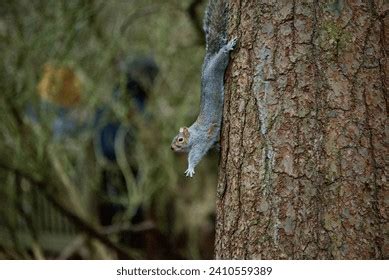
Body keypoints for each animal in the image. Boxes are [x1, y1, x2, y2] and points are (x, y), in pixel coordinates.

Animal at [170, 0, 236, 177]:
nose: (171, 148)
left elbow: (195, 155)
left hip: (216, 66)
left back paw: (228, 47)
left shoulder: (200, 142)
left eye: (180, 139)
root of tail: (208, 58)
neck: (193, 135)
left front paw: (190, 168)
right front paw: (218, 147)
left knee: (222, 56)